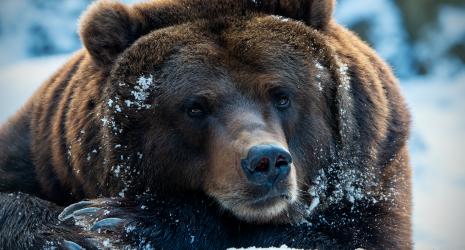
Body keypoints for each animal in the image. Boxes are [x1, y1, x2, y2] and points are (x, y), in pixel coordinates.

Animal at [0, 0, 412, 248]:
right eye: (195, 107)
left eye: (282, 95)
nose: (267, 161)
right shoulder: (45, 154)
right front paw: (65, 233)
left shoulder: (377, 167)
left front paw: (115, 218)